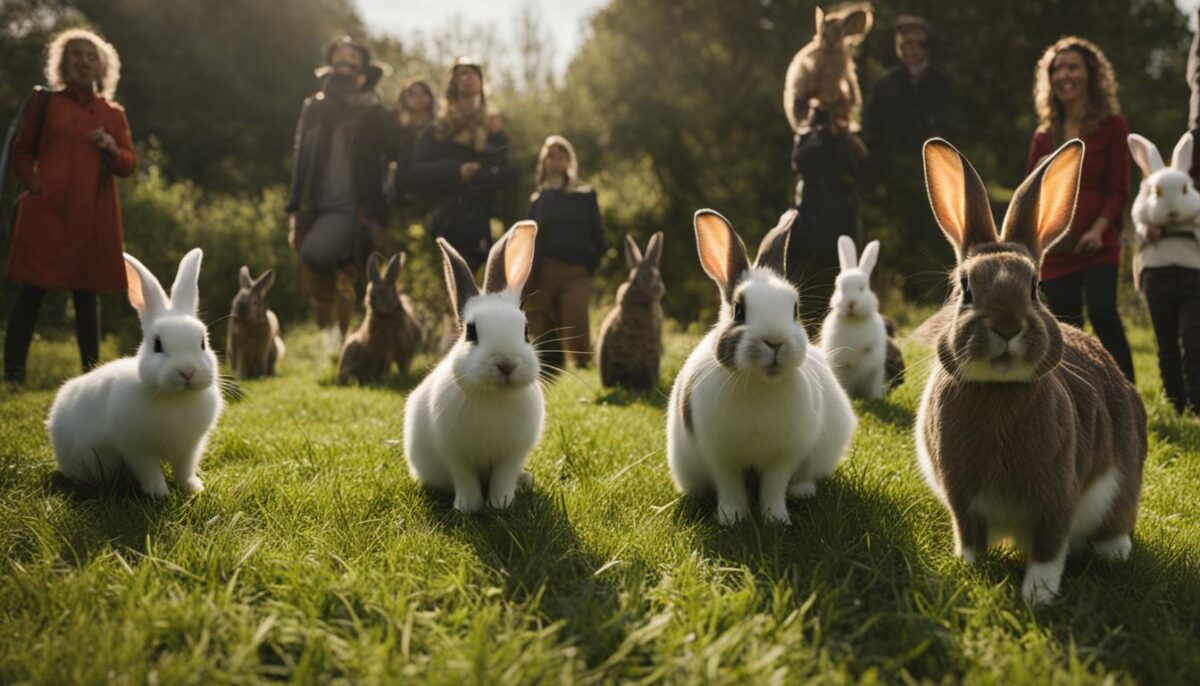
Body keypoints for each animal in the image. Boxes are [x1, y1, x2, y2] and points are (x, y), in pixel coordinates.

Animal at [47, 249, 225, 497]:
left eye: (202, 343)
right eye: (157, 345)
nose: (187, 372)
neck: (176, 398)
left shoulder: (189, 449)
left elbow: (184, 470)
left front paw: (194, 488)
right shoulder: (137, 450)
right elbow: (150, 472)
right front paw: (160, 494)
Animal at [337, 252, 423, 385]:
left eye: (390, 291)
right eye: (370, 291)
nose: (375, 303)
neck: (385, 316)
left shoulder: (404, 352)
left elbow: (403, 367)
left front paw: (402, 379)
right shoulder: (380, 353)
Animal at [403, 222, 544, 513]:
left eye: (526, 331)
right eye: (470, 331)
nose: (506, 365)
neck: (494, 397)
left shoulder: (510, 458)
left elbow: (503, 479)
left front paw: (501, 504)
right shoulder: (456, 456)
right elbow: (465, 479)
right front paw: (467, 507)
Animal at [666, 209, 856, 526]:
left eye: (794, 309)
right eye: (739, 311)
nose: (775, 341)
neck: (759, 383)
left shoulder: (784, 457)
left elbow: (774, 487)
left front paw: (776, 519)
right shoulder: (722, 457)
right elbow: (730, 487)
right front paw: (732, 518)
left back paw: (802, 492)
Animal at [916, 138, 1147, 605]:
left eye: (1036, 286)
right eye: (965, 288)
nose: (1007, 326)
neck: (1000, 388)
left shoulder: (1058, 495)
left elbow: (1049, 548)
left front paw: (1037, 596)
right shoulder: (961, 497)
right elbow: (969, 536)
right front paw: (969, 567)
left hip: (1123, 483)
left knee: (1115, 523)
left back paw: (1114, 552)